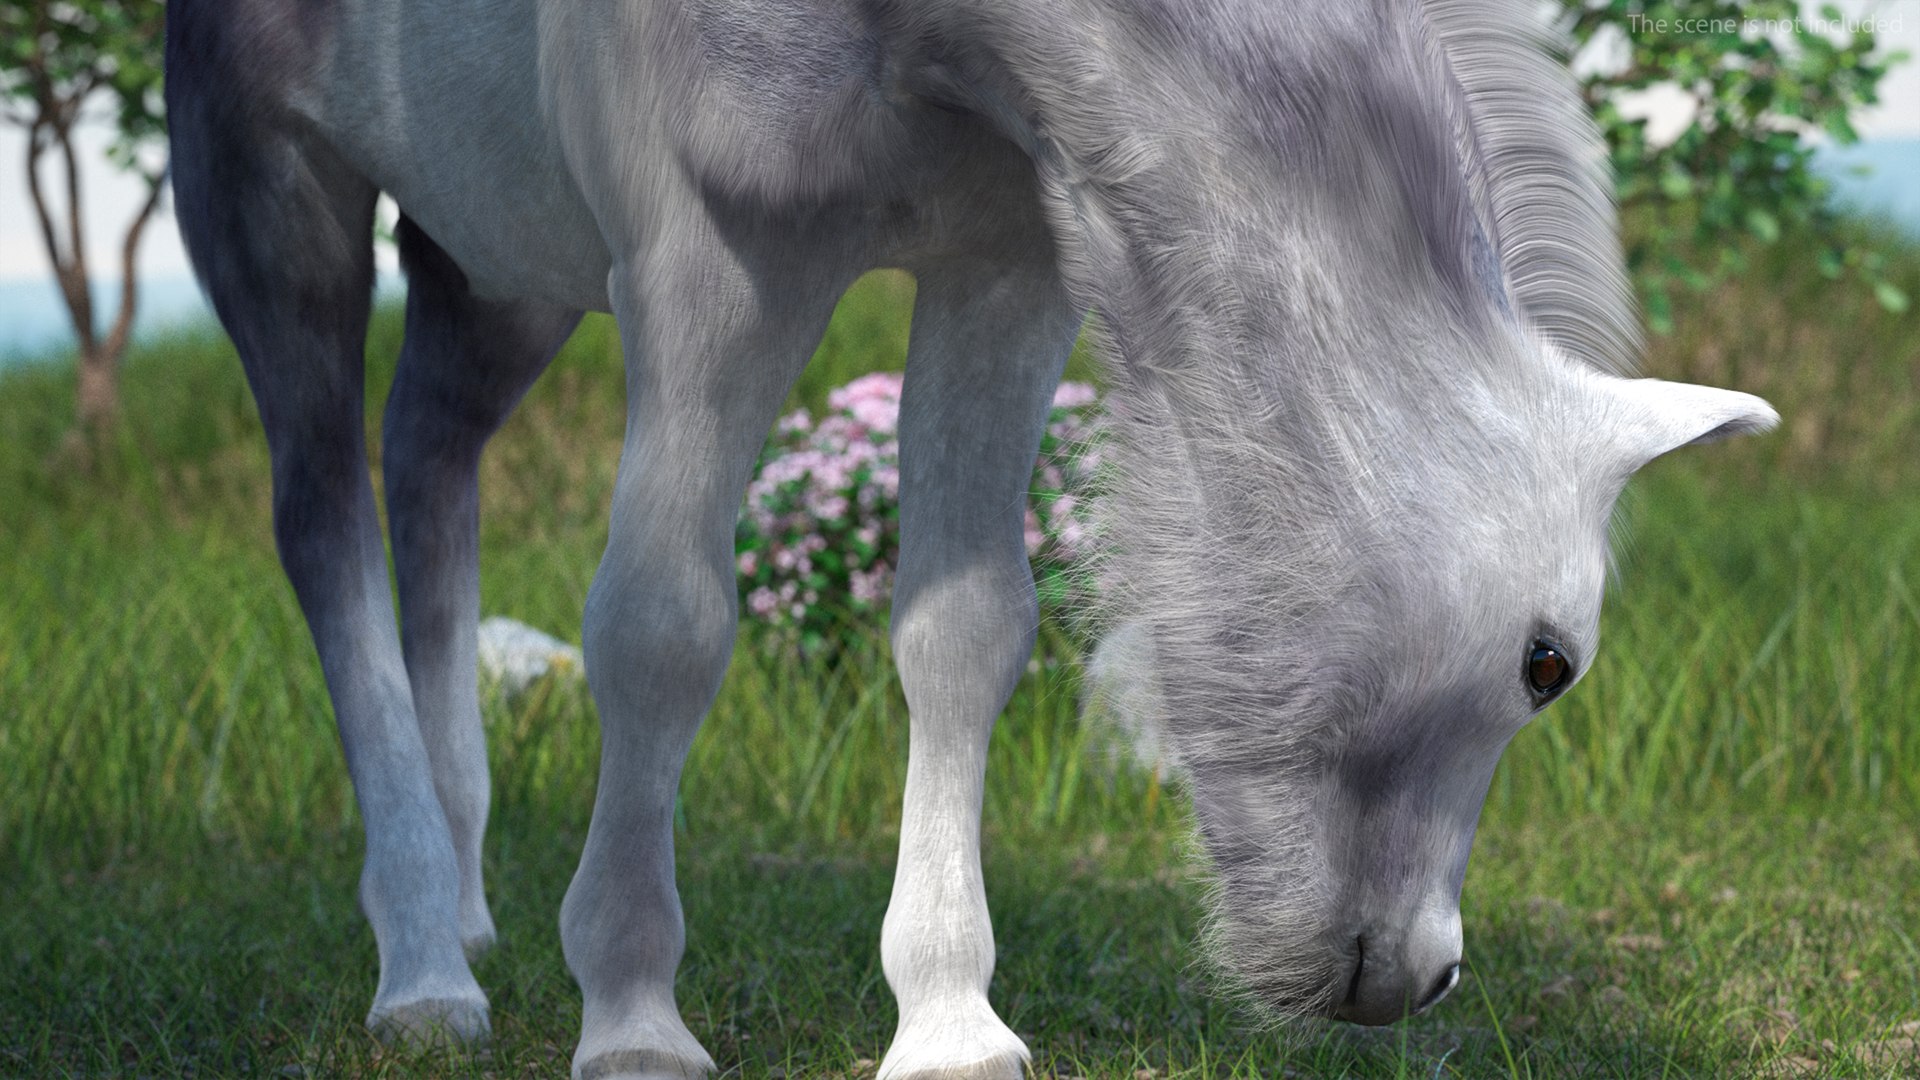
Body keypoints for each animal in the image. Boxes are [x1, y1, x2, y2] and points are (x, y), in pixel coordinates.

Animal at [163, 0, 1776, 1074]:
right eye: (1548, 664)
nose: (1421, 983)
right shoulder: (713, 263)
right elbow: (664, 630)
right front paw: (629, 1013)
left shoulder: (1004, 260)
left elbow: (965, 632)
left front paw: (948, 1020)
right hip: (272, 193)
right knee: (324, 521)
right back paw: (422, 967)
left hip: (494, 261)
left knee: (431, 467)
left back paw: (460, 904)